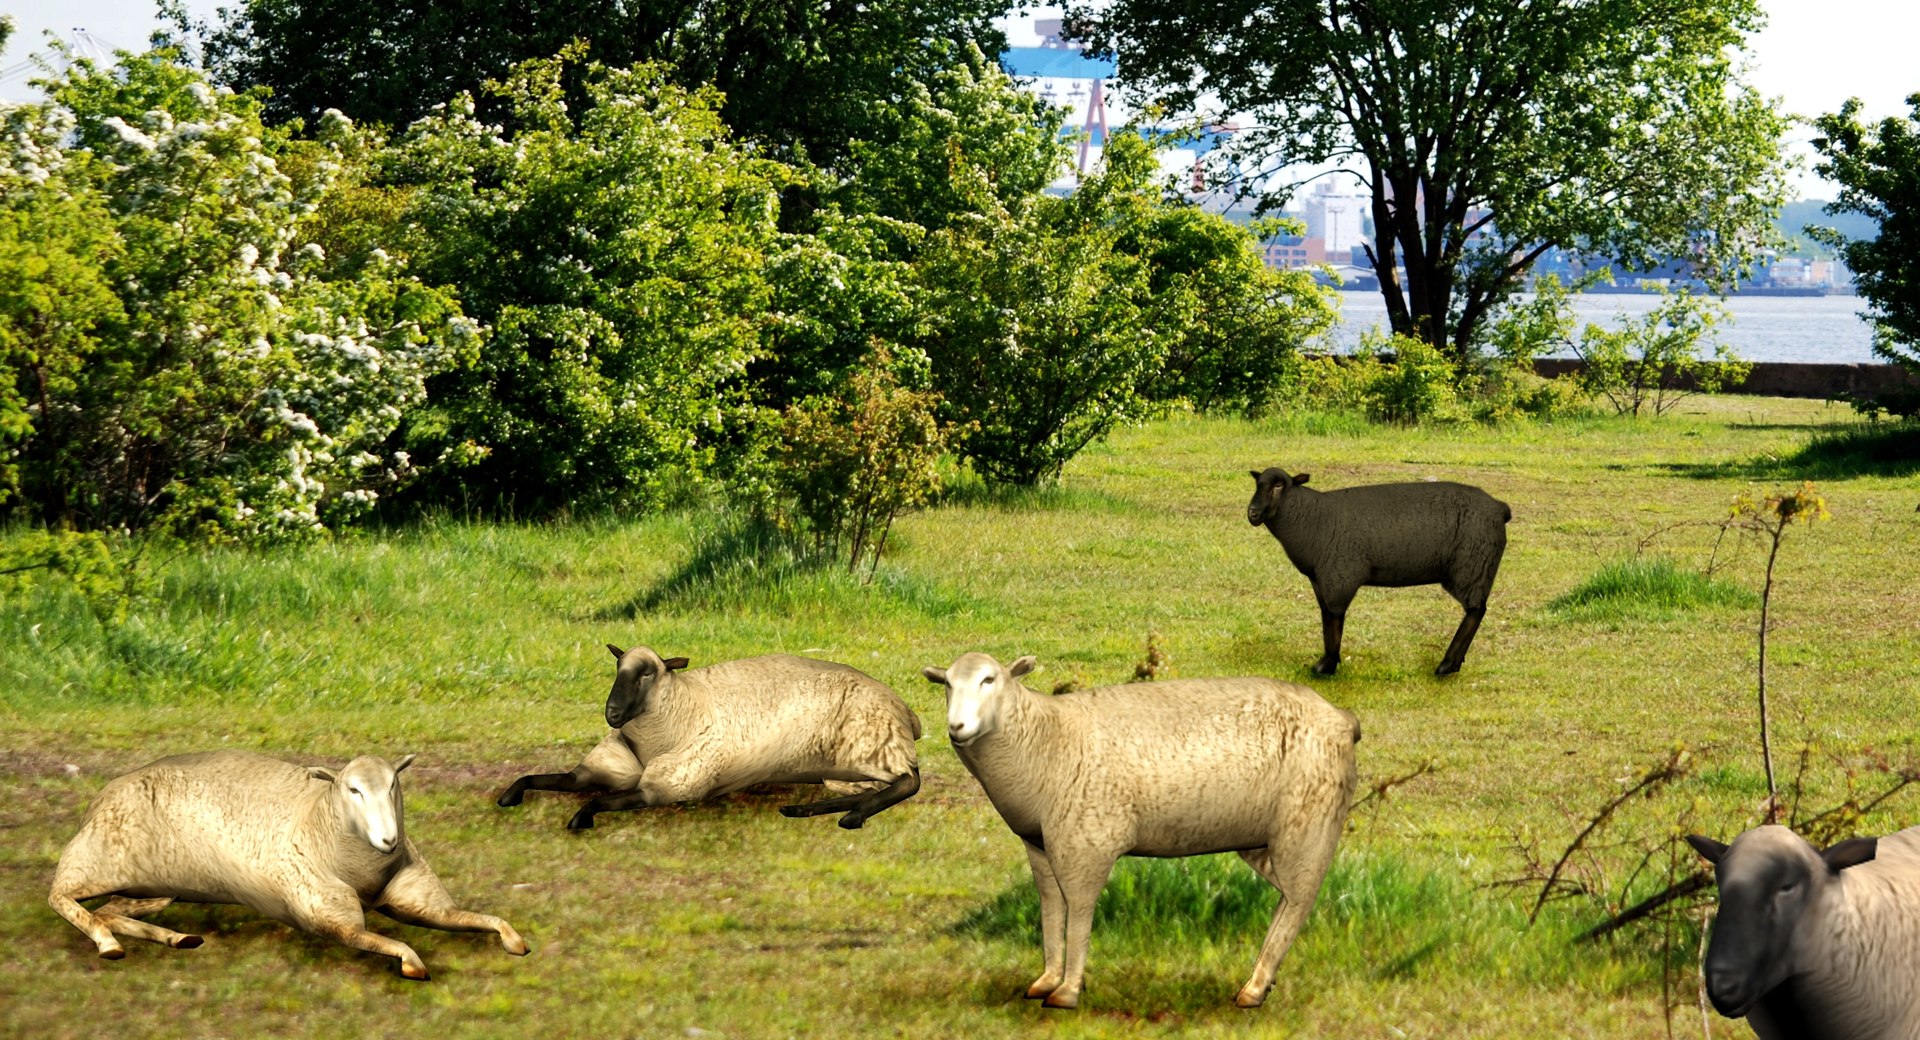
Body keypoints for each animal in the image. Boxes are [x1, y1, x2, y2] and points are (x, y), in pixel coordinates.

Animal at [48, 750, 529, 979]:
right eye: (352, 790)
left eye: (394, 784)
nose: (389, 840)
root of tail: (103, 794)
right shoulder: (330, 919)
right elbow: (395, 944)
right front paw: (414, 966)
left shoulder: (421, 903)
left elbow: (480, 918)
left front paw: (515, 942)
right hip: (97, 859)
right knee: (61, 898)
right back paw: (108, 944)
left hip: (158, 886)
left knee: (110, 910)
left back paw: (176, 938)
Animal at [498, 645, 922, 831]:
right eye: (618, 670)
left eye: (647, 674)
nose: (612, 714)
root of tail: (904, 709)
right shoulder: (596, 772)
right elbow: (539, 778)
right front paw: (509, 796)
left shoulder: (669, 785)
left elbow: (600, 800)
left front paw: (580, 819)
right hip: (841, 769)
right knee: (870, 788)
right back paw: (805, 810)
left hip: (871, 746)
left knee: (908, 783)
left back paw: (851, 818)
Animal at [922, 651, 1359, 1010]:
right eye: (947, 684)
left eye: (989, 680)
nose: (956, 726)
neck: (1045, 739)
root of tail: (1342, 719)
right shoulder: (1041, 846)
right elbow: (1051, 908)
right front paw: (1046, 980)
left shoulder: (1087, 842)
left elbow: (1078, 913)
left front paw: (1067, 991)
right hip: (1266, 839)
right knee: (1288, 899)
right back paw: (1261, 981)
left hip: (1306, 825)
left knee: (1298, 901)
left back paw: (1254, 987)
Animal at [1246, 466, 1511, 675]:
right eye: (1258, 485)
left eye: (1279, 486)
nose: (1252, 513)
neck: (1311, 518)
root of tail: (1501, 509)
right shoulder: (1320, 581)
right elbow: (1326, 618)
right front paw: (1326, 661)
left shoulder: (1339, 576)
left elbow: (1334, 619)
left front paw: (1328, 665)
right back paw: (1454, 663)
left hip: (1473, 566)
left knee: (1476, 610)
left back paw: (1446, 665)